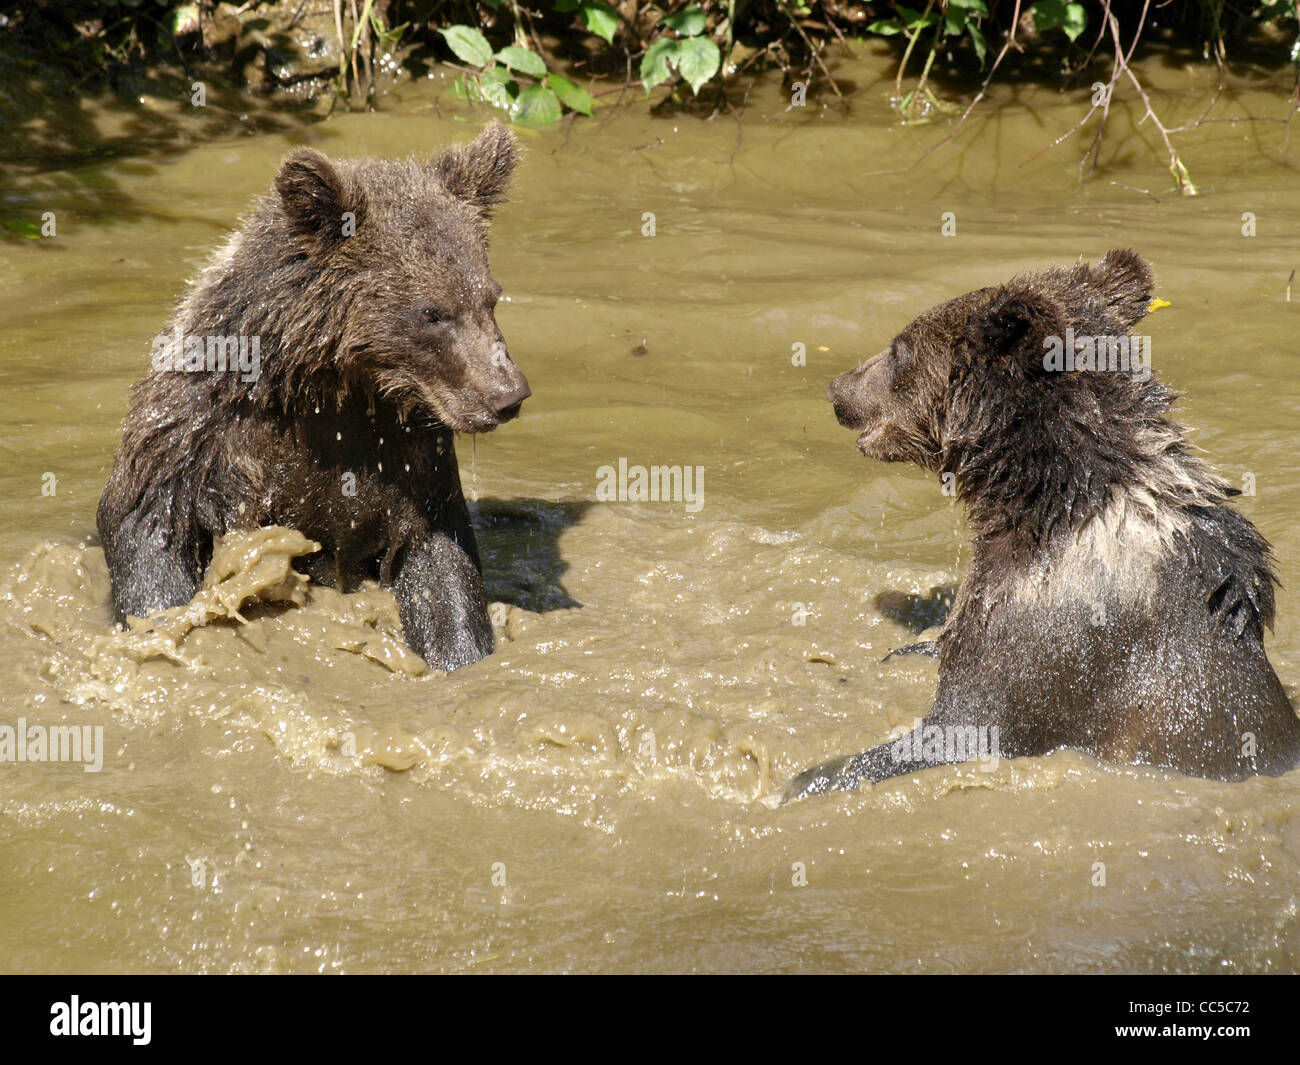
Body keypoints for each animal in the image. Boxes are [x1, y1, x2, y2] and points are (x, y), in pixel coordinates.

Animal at [97, 122, 529, 673]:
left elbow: (439, 565)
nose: (508, 394)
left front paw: (460, 654)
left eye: (489, 296)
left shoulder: (408, 455)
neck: (324, 385)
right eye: (432, 313)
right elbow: (148, 522)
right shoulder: (199, 429)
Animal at [786, 249, 1300, 800]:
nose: (837, 389)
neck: (1051, 503)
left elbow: (967, 721)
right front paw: (898, 650)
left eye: (899, 348)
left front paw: (809, 777)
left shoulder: (1055, 630)